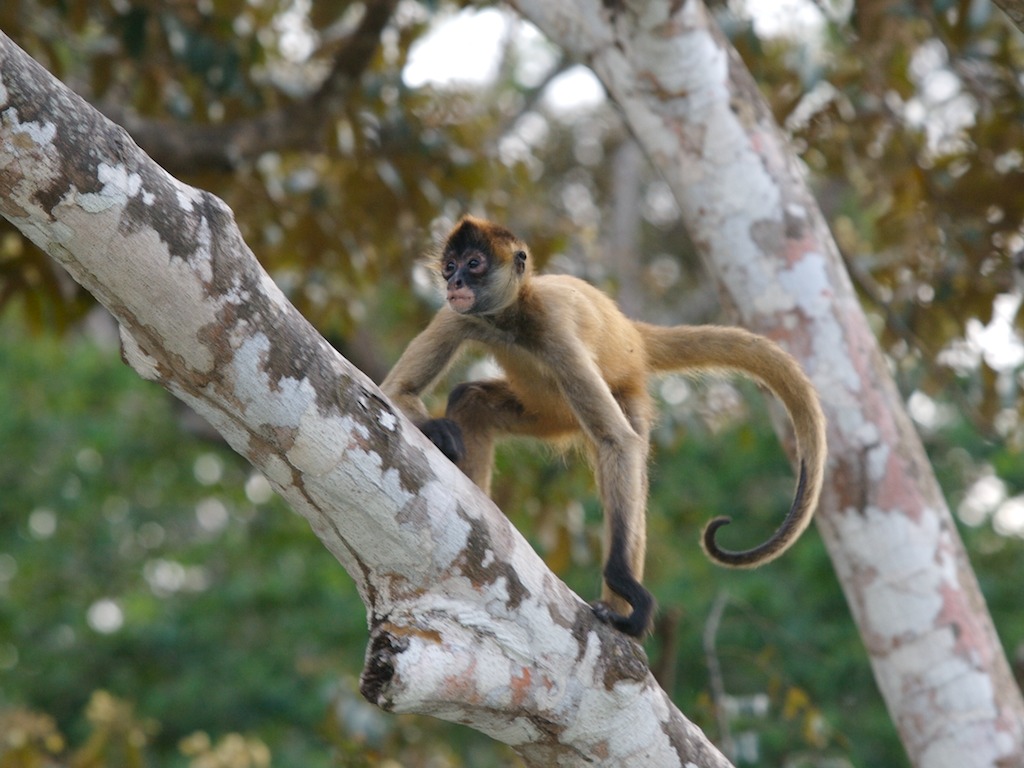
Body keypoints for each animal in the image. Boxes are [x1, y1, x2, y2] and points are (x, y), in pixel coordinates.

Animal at [381, 215, 827, 638]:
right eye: (449, 266)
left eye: (473, 264)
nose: (454, 281)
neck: (510, 319)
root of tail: (631, 333)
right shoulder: (458, 315)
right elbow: (395, 391)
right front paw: (438, 431)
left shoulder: (554, 328)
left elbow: (618, 441)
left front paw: (620, 580)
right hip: (547, 413)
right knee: (469, 400)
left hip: (621, 393)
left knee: (627, 459)